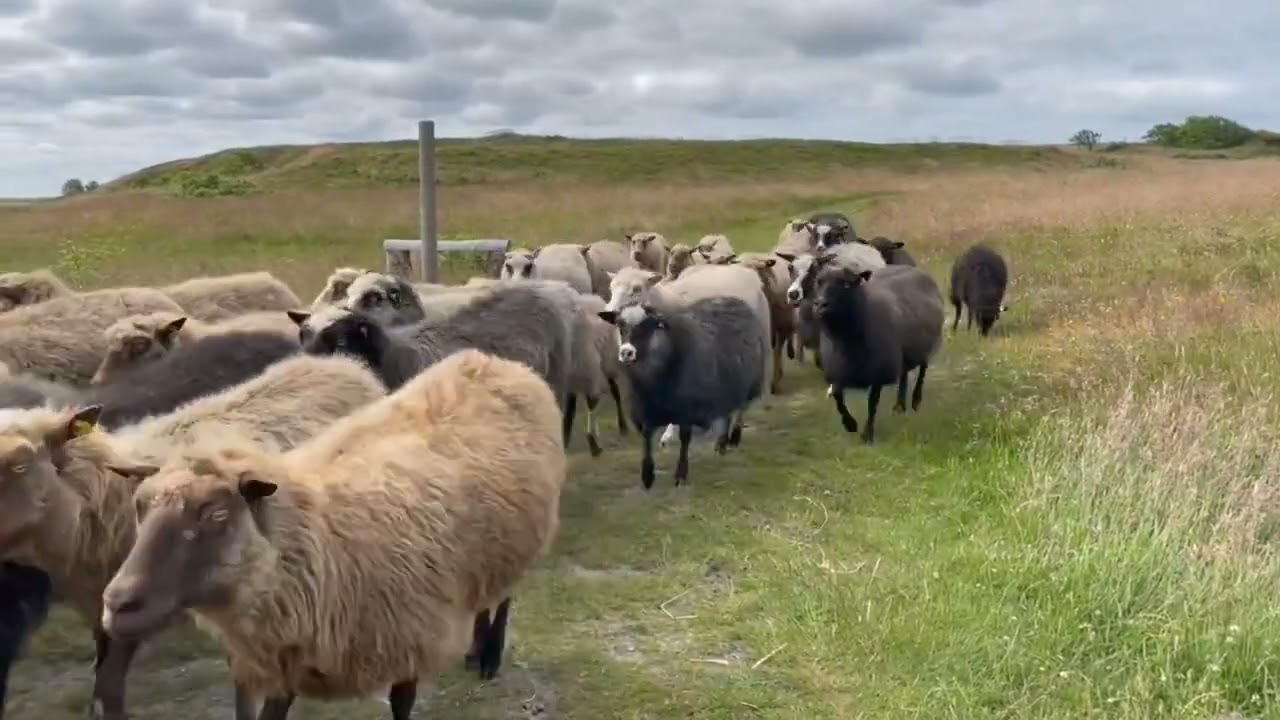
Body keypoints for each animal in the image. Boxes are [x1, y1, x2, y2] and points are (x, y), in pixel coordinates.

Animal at [100, 349, 567, 718]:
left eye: (215, 514)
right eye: (139, 506)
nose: (117, 604)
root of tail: (492, 360)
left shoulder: (409, 637)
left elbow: (402, 703)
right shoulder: (278, 661)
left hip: (519, 539)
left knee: (503, 598)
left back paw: (488, 656)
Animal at [598, 297, 767, 488]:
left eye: (649, 325)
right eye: (620, 325)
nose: (626, 352)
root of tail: (735, 300)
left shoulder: (687, 408)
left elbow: (685, 439)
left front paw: (680, 474)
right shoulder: (646, 410)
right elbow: (647, 437)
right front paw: (647, 476)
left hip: (752, 379)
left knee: (742, 409)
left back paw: (734, 438)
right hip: (727, 384)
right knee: (727, 413)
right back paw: (721, 444)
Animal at [811, 261, 944, 444]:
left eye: (846, 284)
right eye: (818, 282)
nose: (820, 305)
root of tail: (911, 267)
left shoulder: (878, 374)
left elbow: (872, 404)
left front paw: (867, 434)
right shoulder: (837, 373)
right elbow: (837, 396)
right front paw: (850, 425)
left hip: (925, 346)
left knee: (922, 371)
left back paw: (915, 401)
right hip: (901, 353)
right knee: (904, 374)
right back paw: (899, 407)